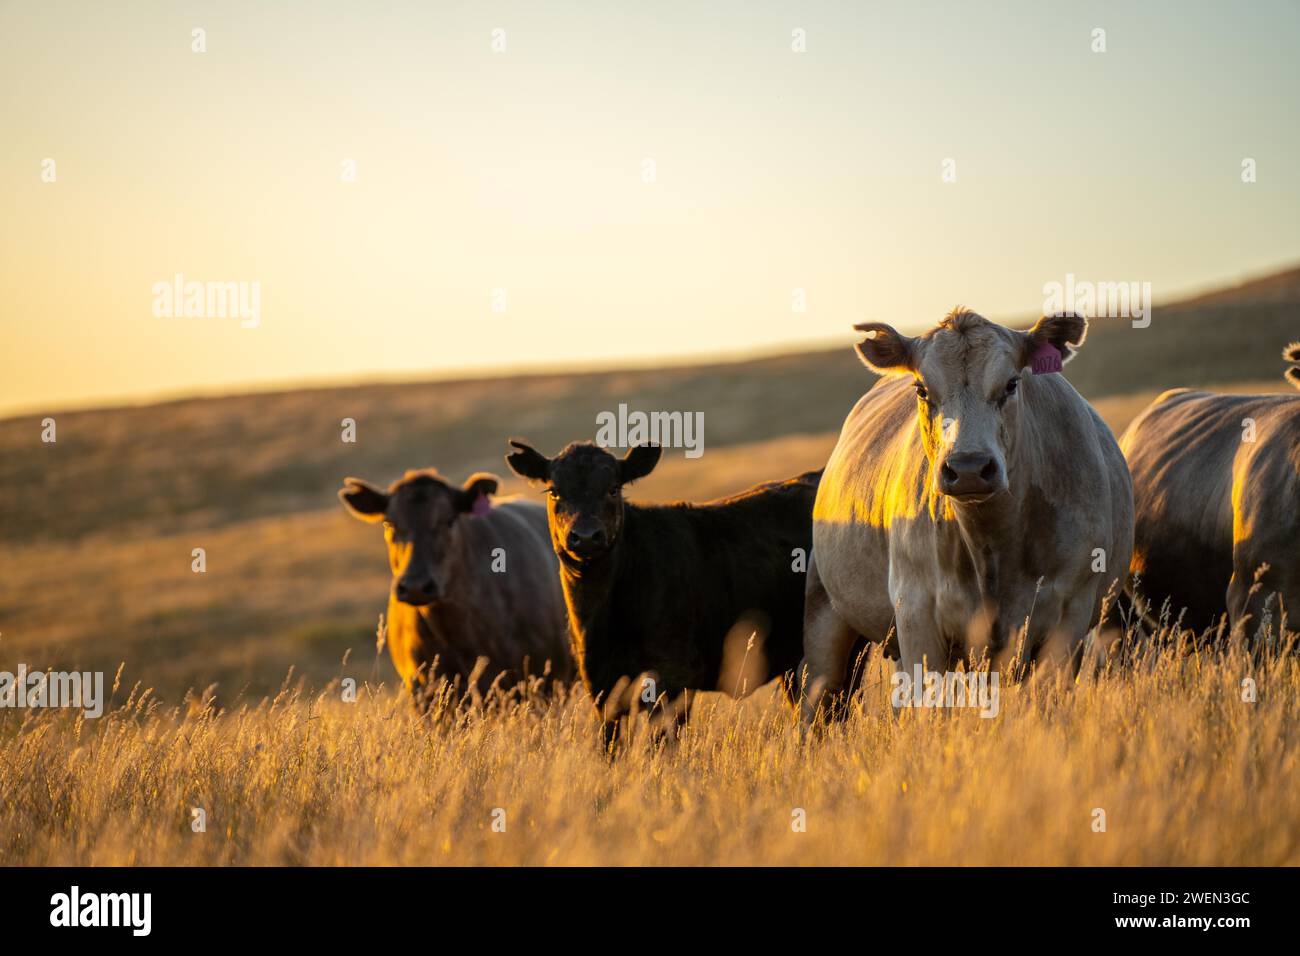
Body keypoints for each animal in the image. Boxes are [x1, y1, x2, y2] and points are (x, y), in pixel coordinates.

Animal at [800, 308, 1134, 725]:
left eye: (1011, 383)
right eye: (922, 389)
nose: (969, 467)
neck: (992, 544)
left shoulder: (1070, 614)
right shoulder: (916, 615)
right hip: (825, 622)